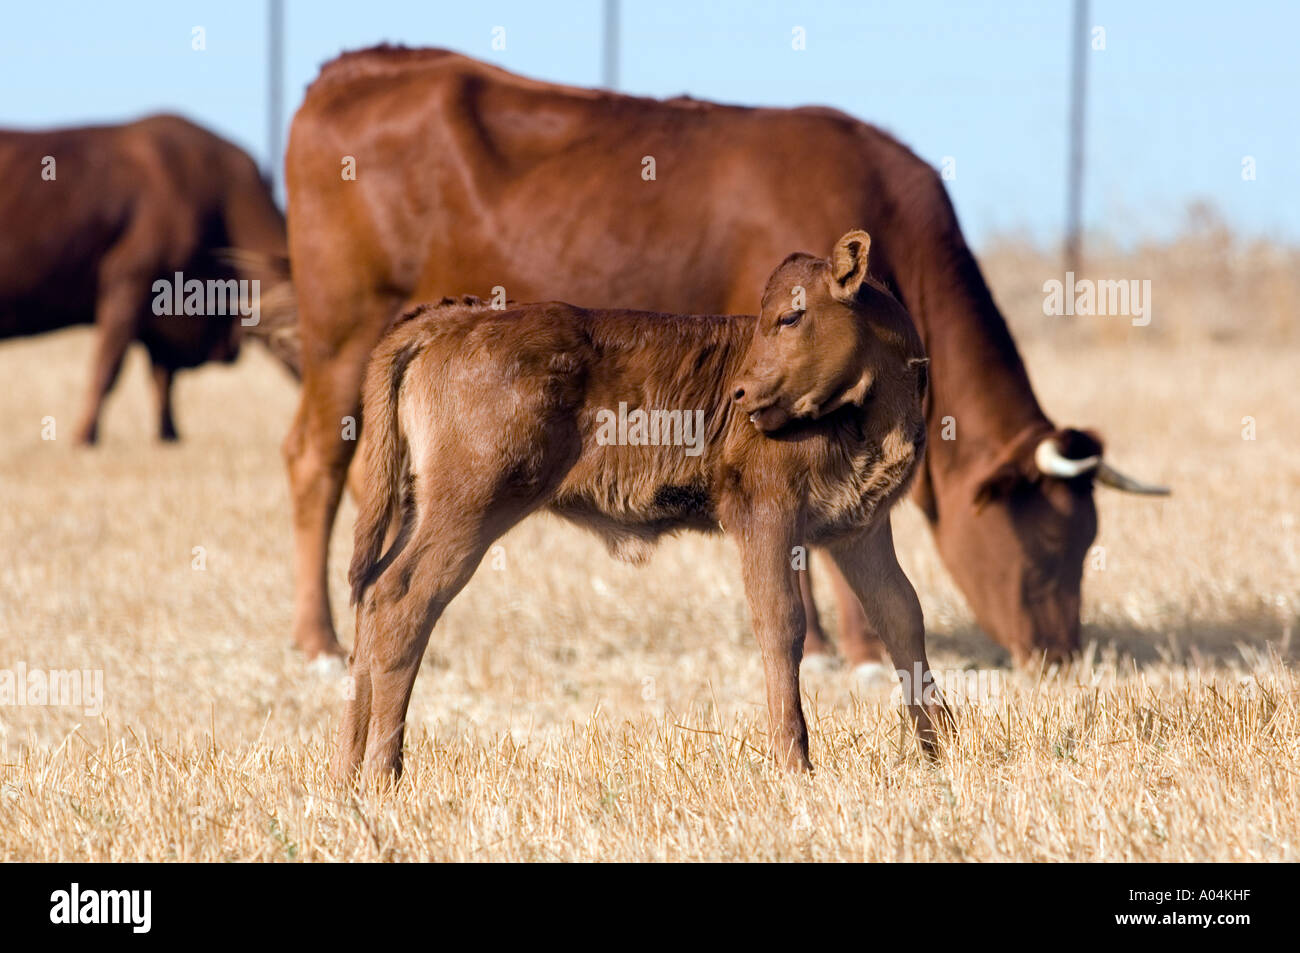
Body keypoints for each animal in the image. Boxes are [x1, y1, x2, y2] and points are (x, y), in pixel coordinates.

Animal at [0, 114, 290, 442]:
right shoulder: (129, 284)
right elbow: (107, 369)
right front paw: (84, 436)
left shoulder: (164, 320)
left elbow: (162, 379)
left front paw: (169, 436)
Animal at [284, 45, 1166, 668]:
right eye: (1048, 545)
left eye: (1087, 543)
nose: (1062, 656)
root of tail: (357, 67)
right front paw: (853, 650)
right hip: (343, 337)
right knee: (315, 464)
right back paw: (319, 640)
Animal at [338, 231, 947, 781]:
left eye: (791, 317)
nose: (741, 394)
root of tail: (453, 319)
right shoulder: (766, 517)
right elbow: (782, 623)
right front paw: (796, 763)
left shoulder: (861, 531)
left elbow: (902, 615)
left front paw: (939, 751)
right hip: (468, 509)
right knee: (403, 601)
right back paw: (383, 773)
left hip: (423, 510)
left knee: (372, 595)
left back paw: (348, 772)